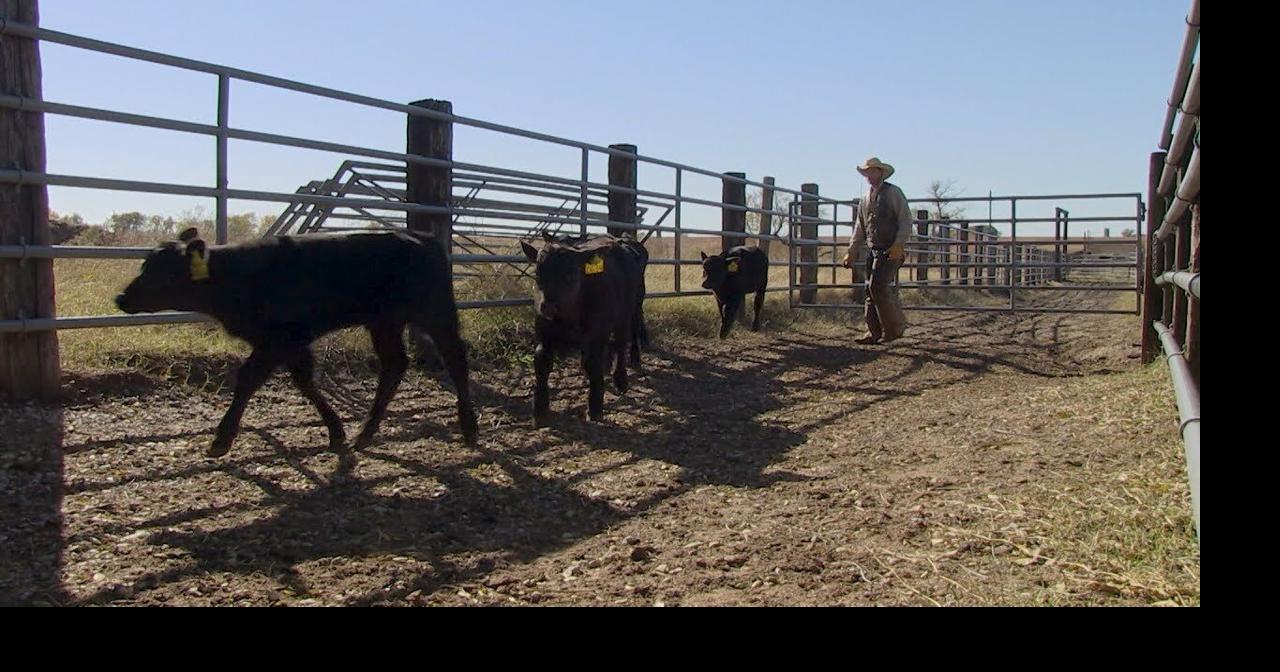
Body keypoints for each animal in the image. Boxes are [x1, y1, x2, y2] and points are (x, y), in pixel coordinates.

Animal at [115, 227, 478, 457]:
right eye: (145, 265)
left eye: (163, 271)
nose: (122, 297)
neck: (240, 275)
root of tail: (423, 238)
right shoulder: (290, 343)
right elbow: (304, 381)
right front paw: (336, 431)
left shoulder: (277, 339)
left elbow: (248, 379)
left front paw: (221, 439)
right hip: (384, 322)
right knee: (394, 365)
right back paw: (365, 433)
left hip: (434, 311)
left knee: (455, 357)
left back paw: (469, 427)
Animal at [520, 234, 646, 427]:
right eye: (537, 274)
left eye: (570, 276)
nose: (548, 306)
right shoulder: (543, 331)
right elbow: (542, 360)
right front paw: (540, 410)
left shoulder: (596, 332)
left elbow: (591, 362)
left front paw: (595, 408)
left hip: (628, 312)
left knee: (622, 341)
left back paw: (620, 379)